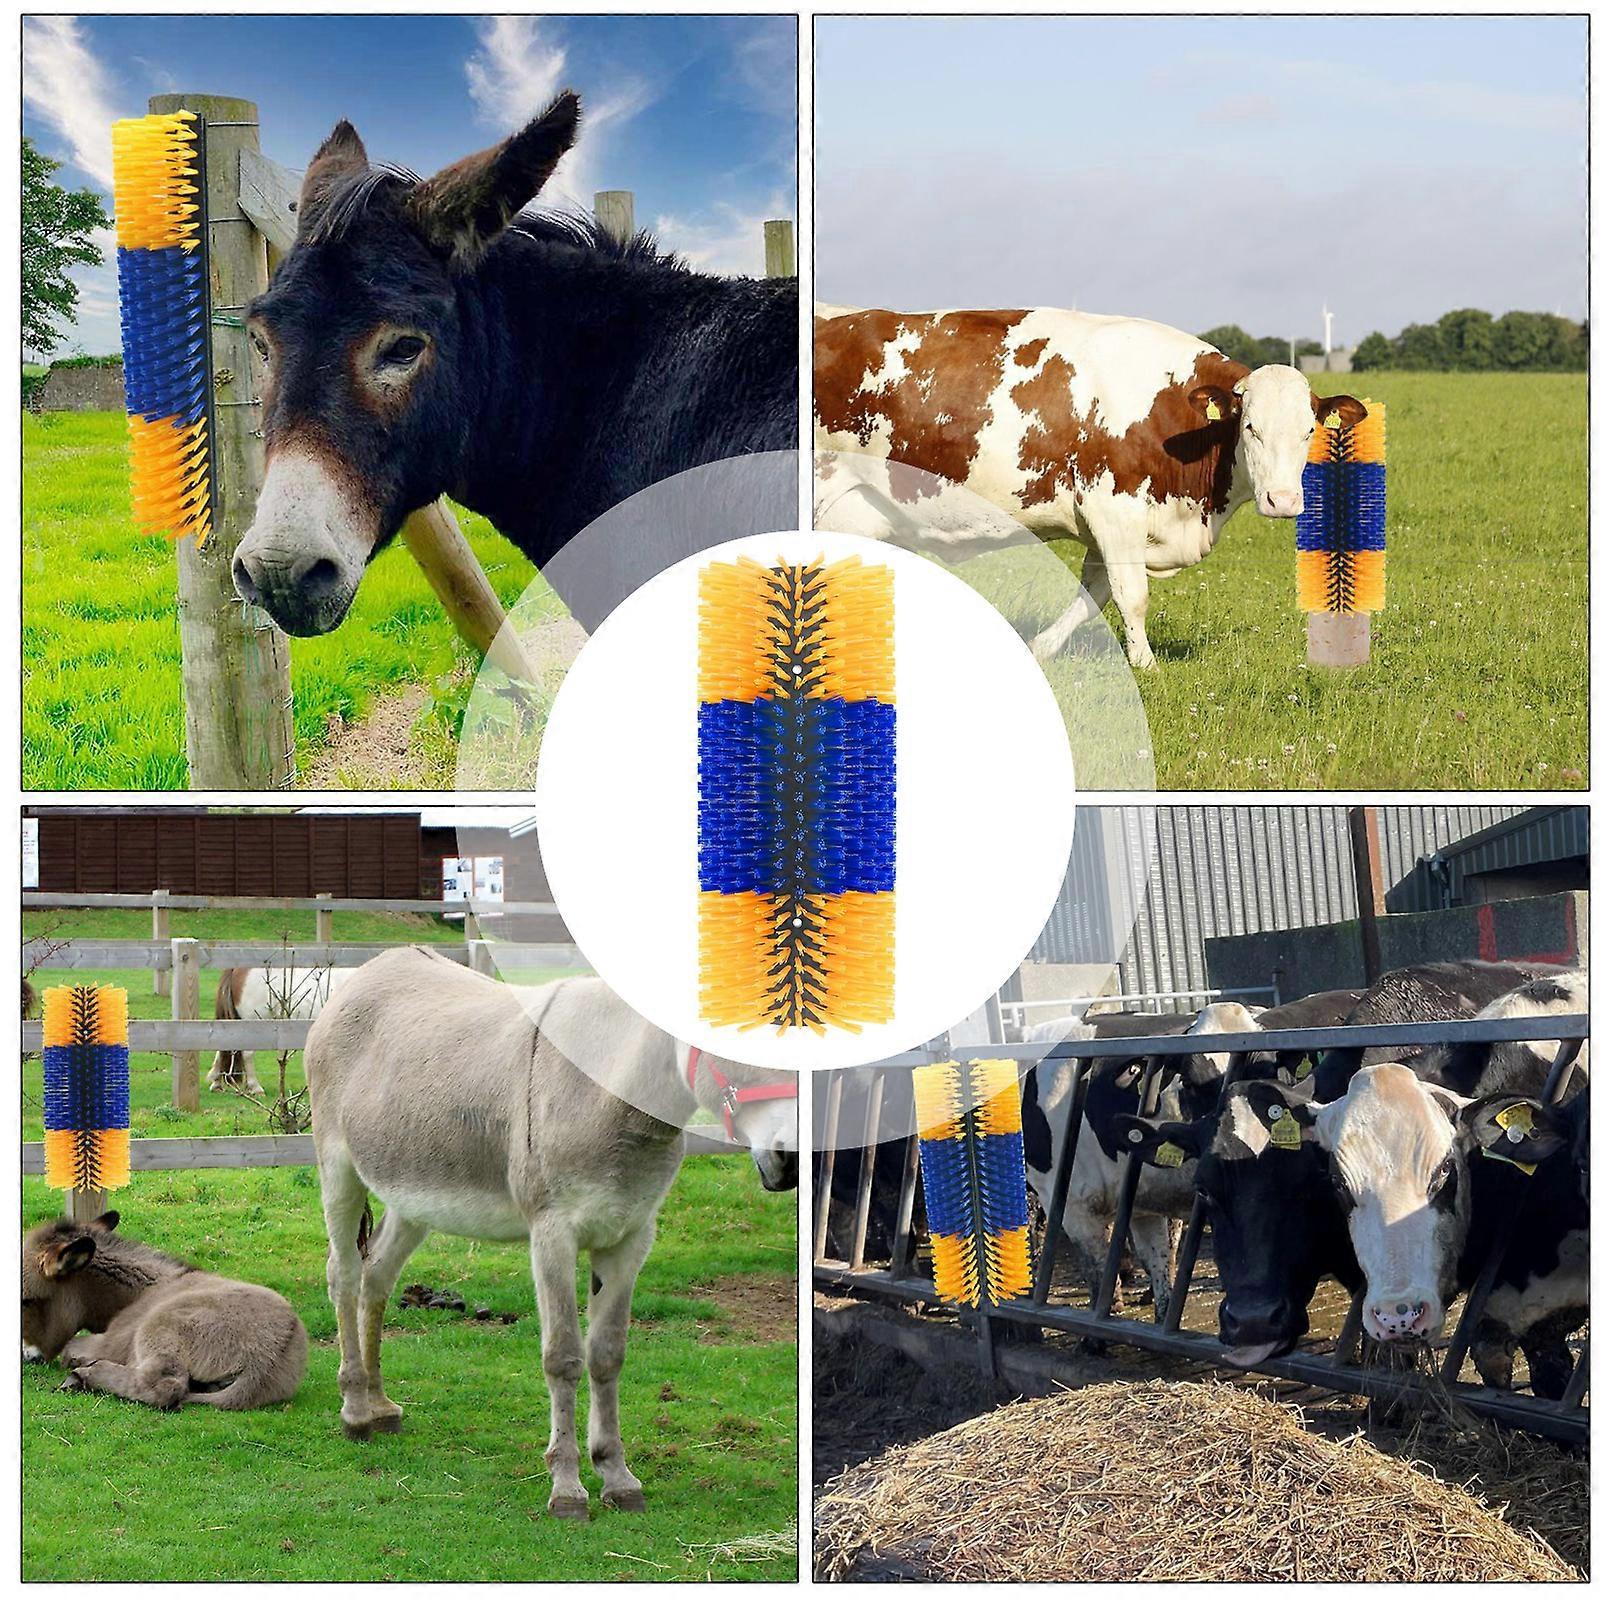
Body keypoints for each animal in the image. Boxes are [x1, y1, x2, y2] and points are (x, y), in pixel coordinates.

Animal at [814, 307, 1368, 668]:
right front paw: (1145, 666)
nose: (1283, 501)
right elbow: (1131, 594)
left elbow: (1093, 592)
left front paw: (1038, 649)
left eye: (1309, 431)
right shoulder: (1113, 508)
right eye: (1250, 427)